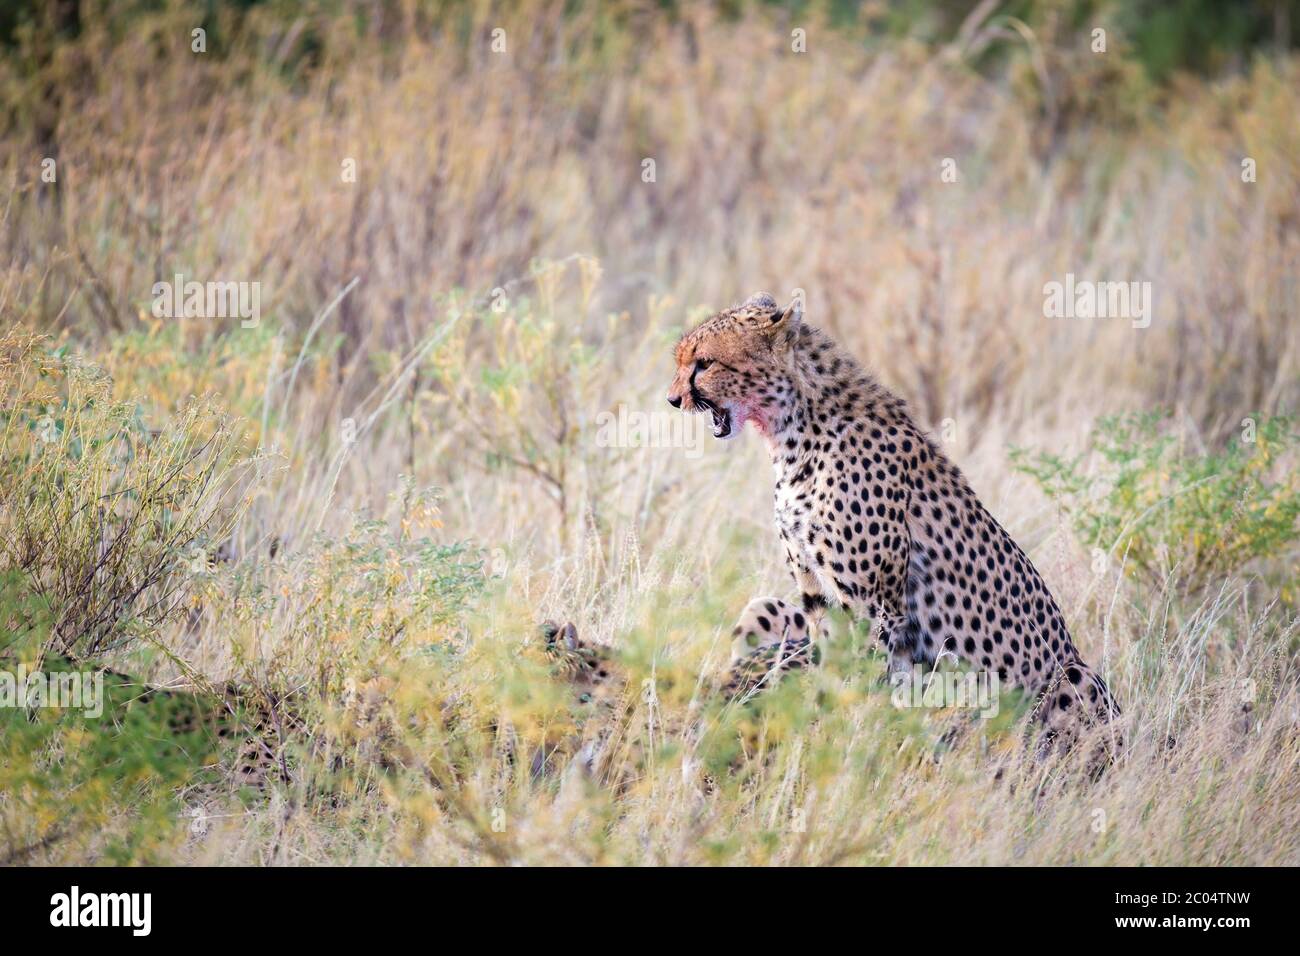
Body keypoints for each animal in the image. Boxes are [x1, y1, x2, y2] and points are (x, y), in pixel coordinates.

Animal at [666, 292, 1122, 763]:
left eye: (704, 363)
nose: (673, 399)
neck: (792, 434)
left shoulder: (873, 605)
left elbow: (864, 678)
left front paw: (848, 742)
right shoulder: (816, 595)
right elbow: (831, 670)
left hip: (1074, 677)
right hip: (764, 606)